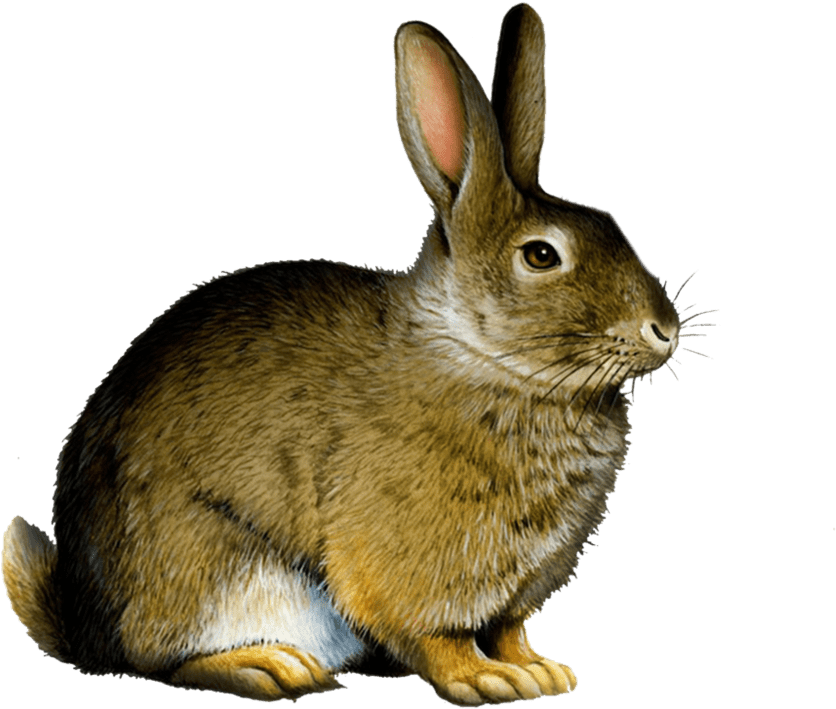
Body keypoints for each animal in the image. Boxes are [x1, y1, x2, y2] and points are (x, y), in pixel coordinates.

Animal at [2, 3, 692, 705]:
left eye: (610, 223)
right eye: (541, 255)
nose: (664, 330)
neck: (485, 358)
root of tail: (84, 626)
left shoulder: (517, 590)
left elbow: (509, 630)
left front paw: (542, 670)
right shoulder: (406, 564)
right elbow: (437, 638)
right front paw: (488, 681)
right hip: (218, 572)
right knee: (164, 657)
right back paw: (272, 668)